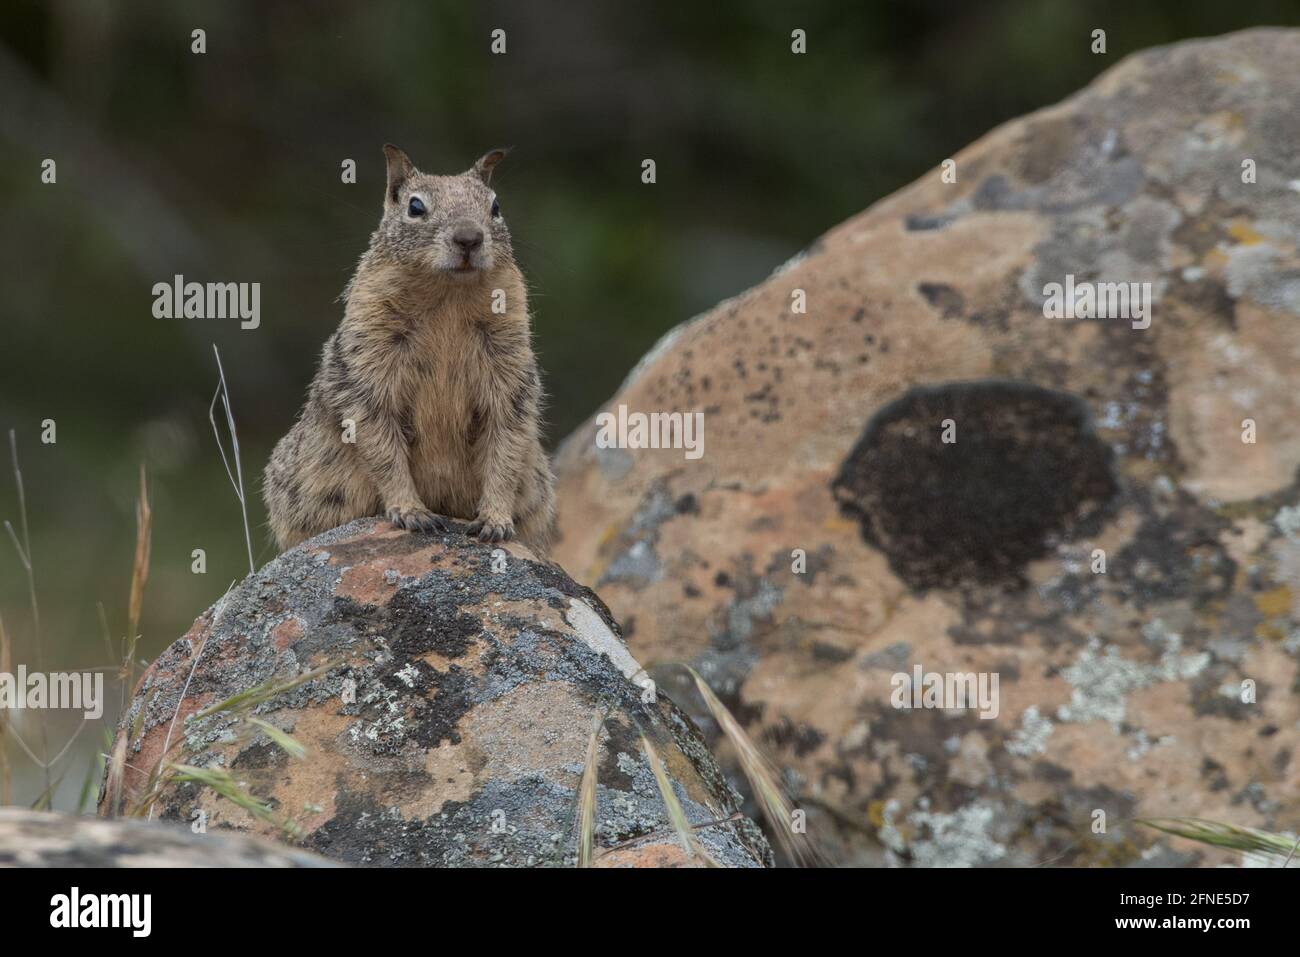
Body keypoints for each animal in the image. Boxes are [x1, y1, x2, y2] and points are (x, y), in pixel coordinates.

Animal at [263, 145, 555, 555]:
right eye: (415, 207)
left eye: (495, 206)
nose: (469, 238)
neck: (448, 297)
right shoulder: (368, 371)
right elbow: (383, 449)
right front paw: (411, 512)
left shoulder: (511, 369)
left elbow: (506, 447)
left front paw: (495, 520)